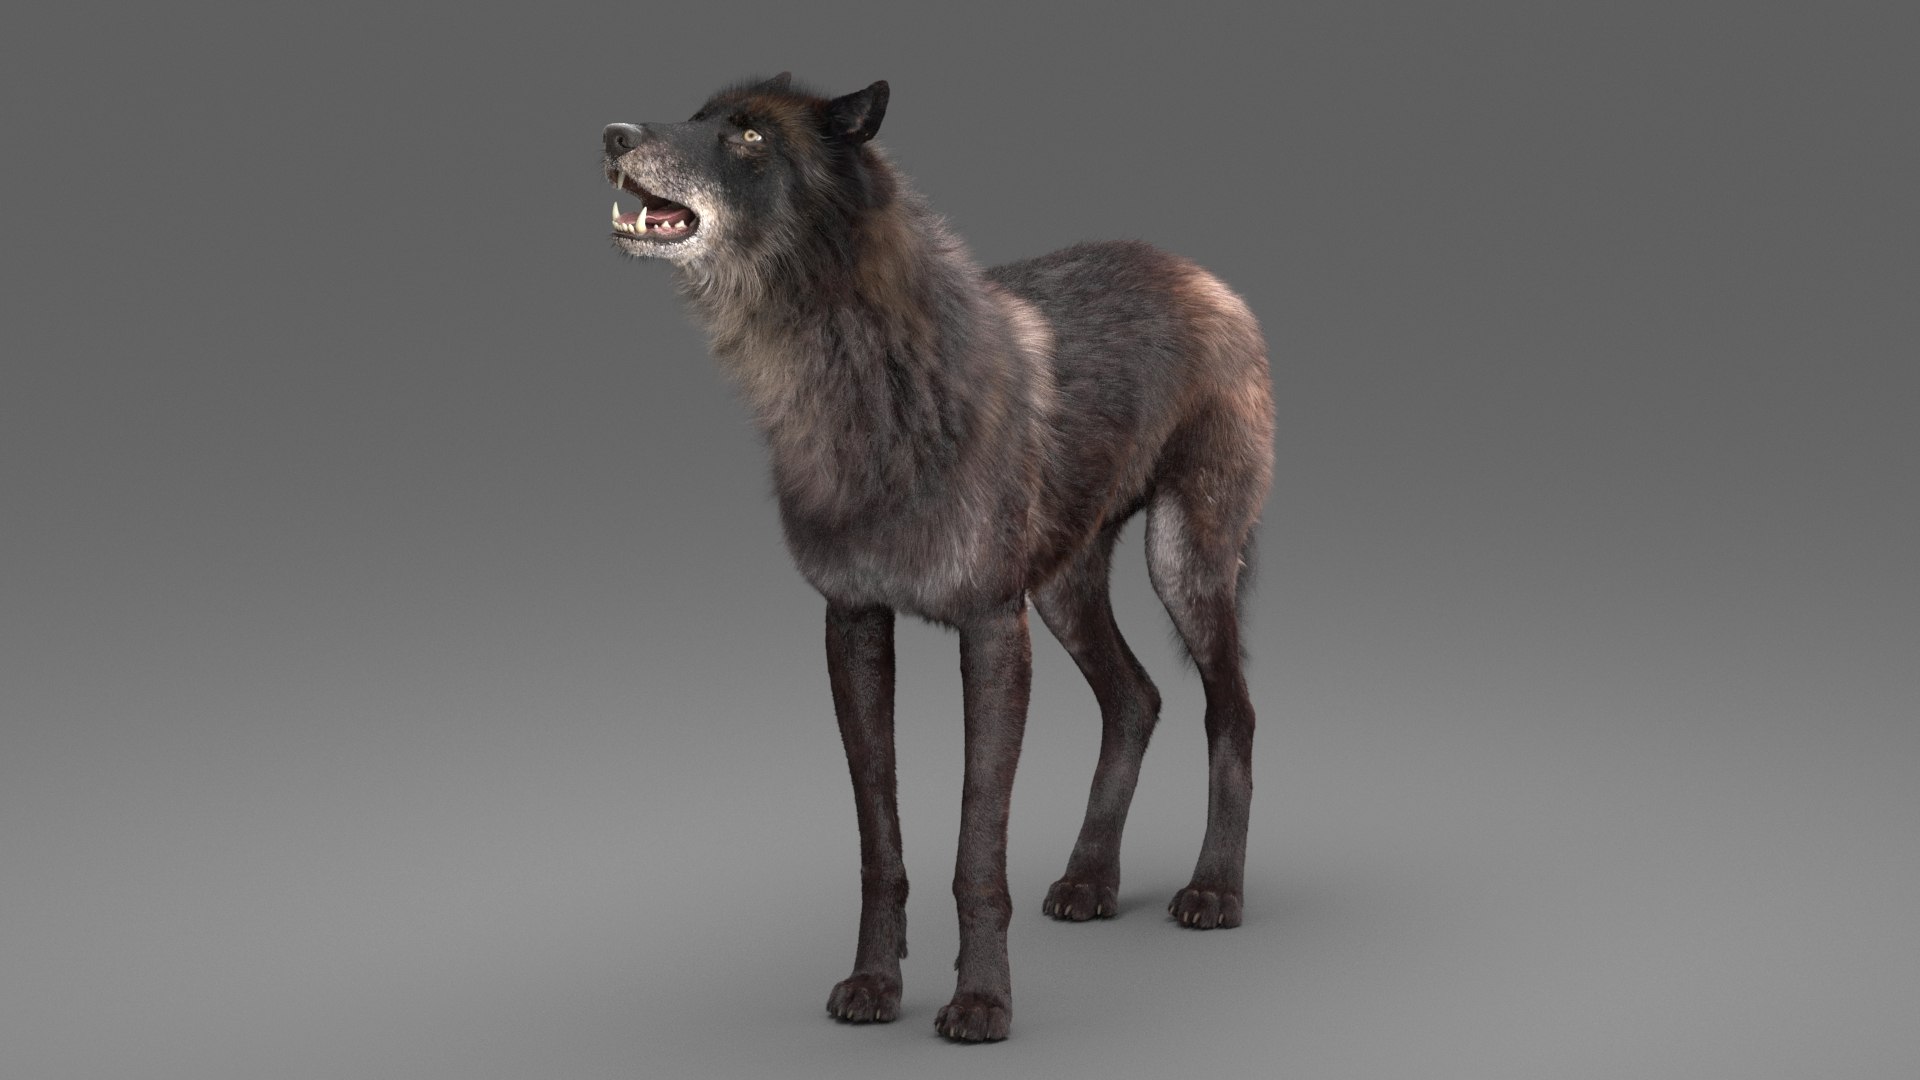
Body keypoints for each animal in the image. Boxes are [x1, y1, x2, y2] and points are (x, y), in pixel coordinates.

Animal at [602, 73, 1274, 1042]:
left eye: (751, 134)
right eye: (697, 116)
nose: (613, 135)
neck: (864, 378)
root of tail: (1201, 275)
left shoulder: (991, 629)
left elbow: (976, 850)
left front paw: (983, 1001)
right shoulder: (853, 623)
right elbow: (880, 843)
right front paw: (874, 984)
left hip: (1181, 562)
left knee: (1233, 712)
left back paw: (1215, 889)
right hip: (1065, 589)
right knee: (1137, 699)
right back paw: (1089, 880)